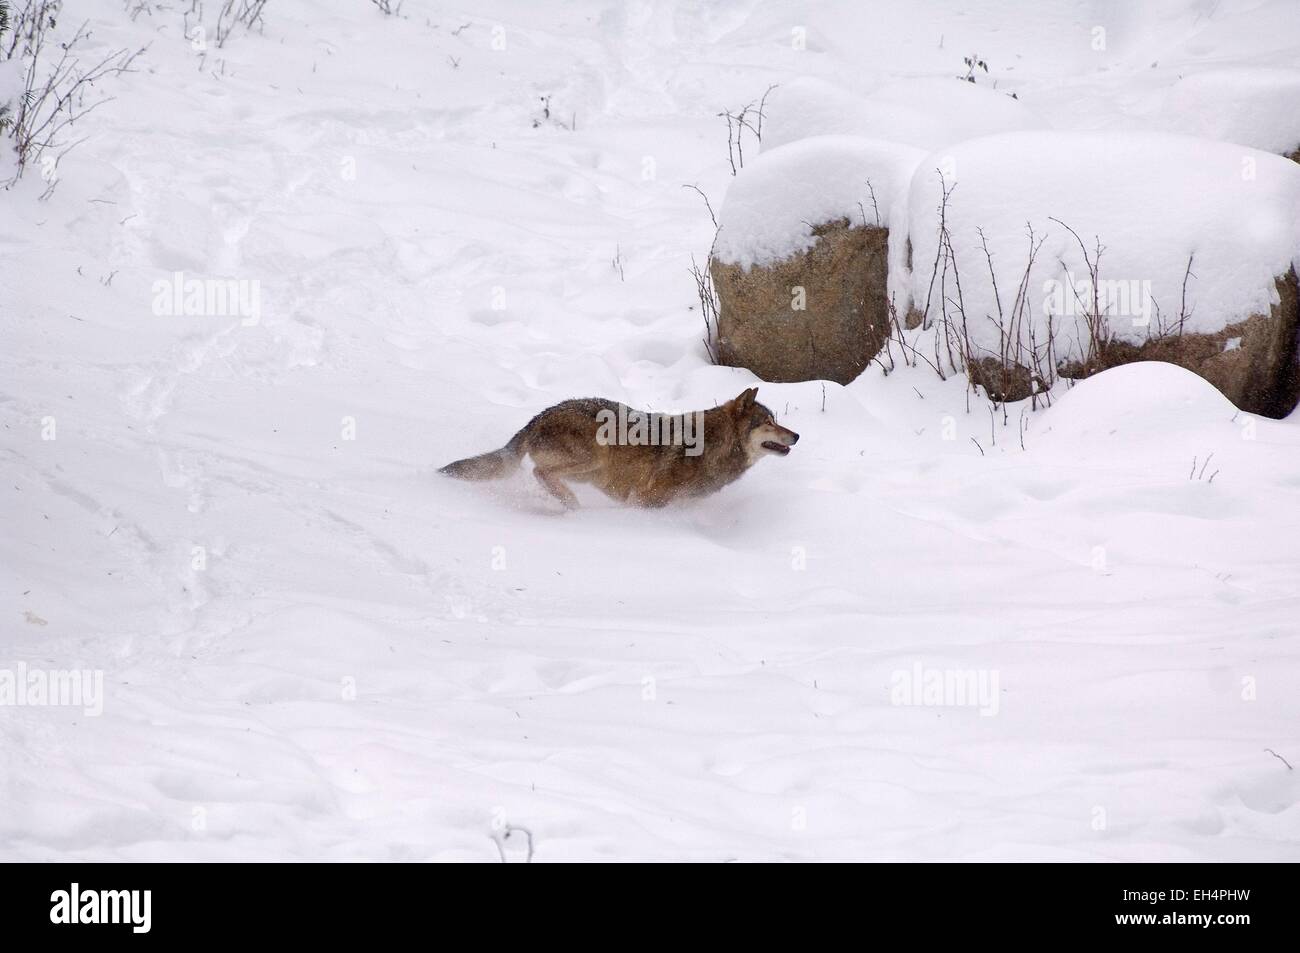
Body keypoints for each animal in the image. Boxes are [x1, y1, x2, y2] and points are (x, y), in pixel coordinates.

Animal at [439, 387, 798, 508]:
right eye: (769, 421)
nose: (796, 436)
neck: (714, 445)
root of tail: (539, 416)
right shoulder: (646, 500)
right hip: (594, 457)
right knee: (541, 472)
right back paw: (570, 504)